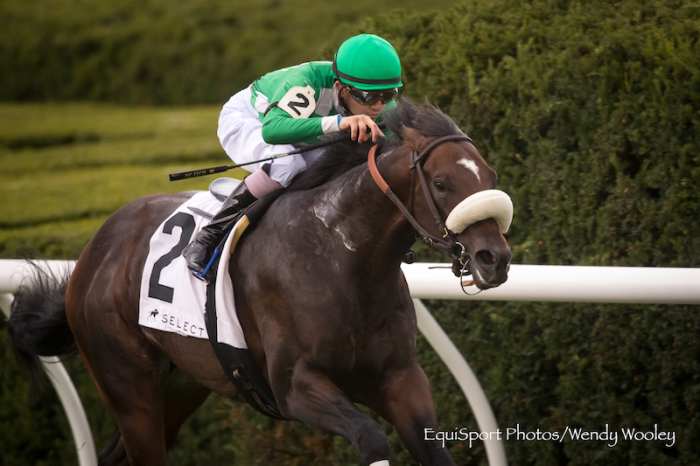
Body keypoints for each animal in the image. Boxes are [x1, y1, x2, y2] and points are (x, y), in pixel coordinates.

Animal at [8, 100, 512, 466]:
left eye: (490, 175)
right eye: (442, 182)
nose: (495, 259)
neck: (341, 256)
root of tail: (93, 251)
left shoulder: (398, 377)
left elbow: (432, 447)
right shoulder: (294, 387)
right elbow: (372, 439)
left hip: (182, 384)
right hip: (129, 386)